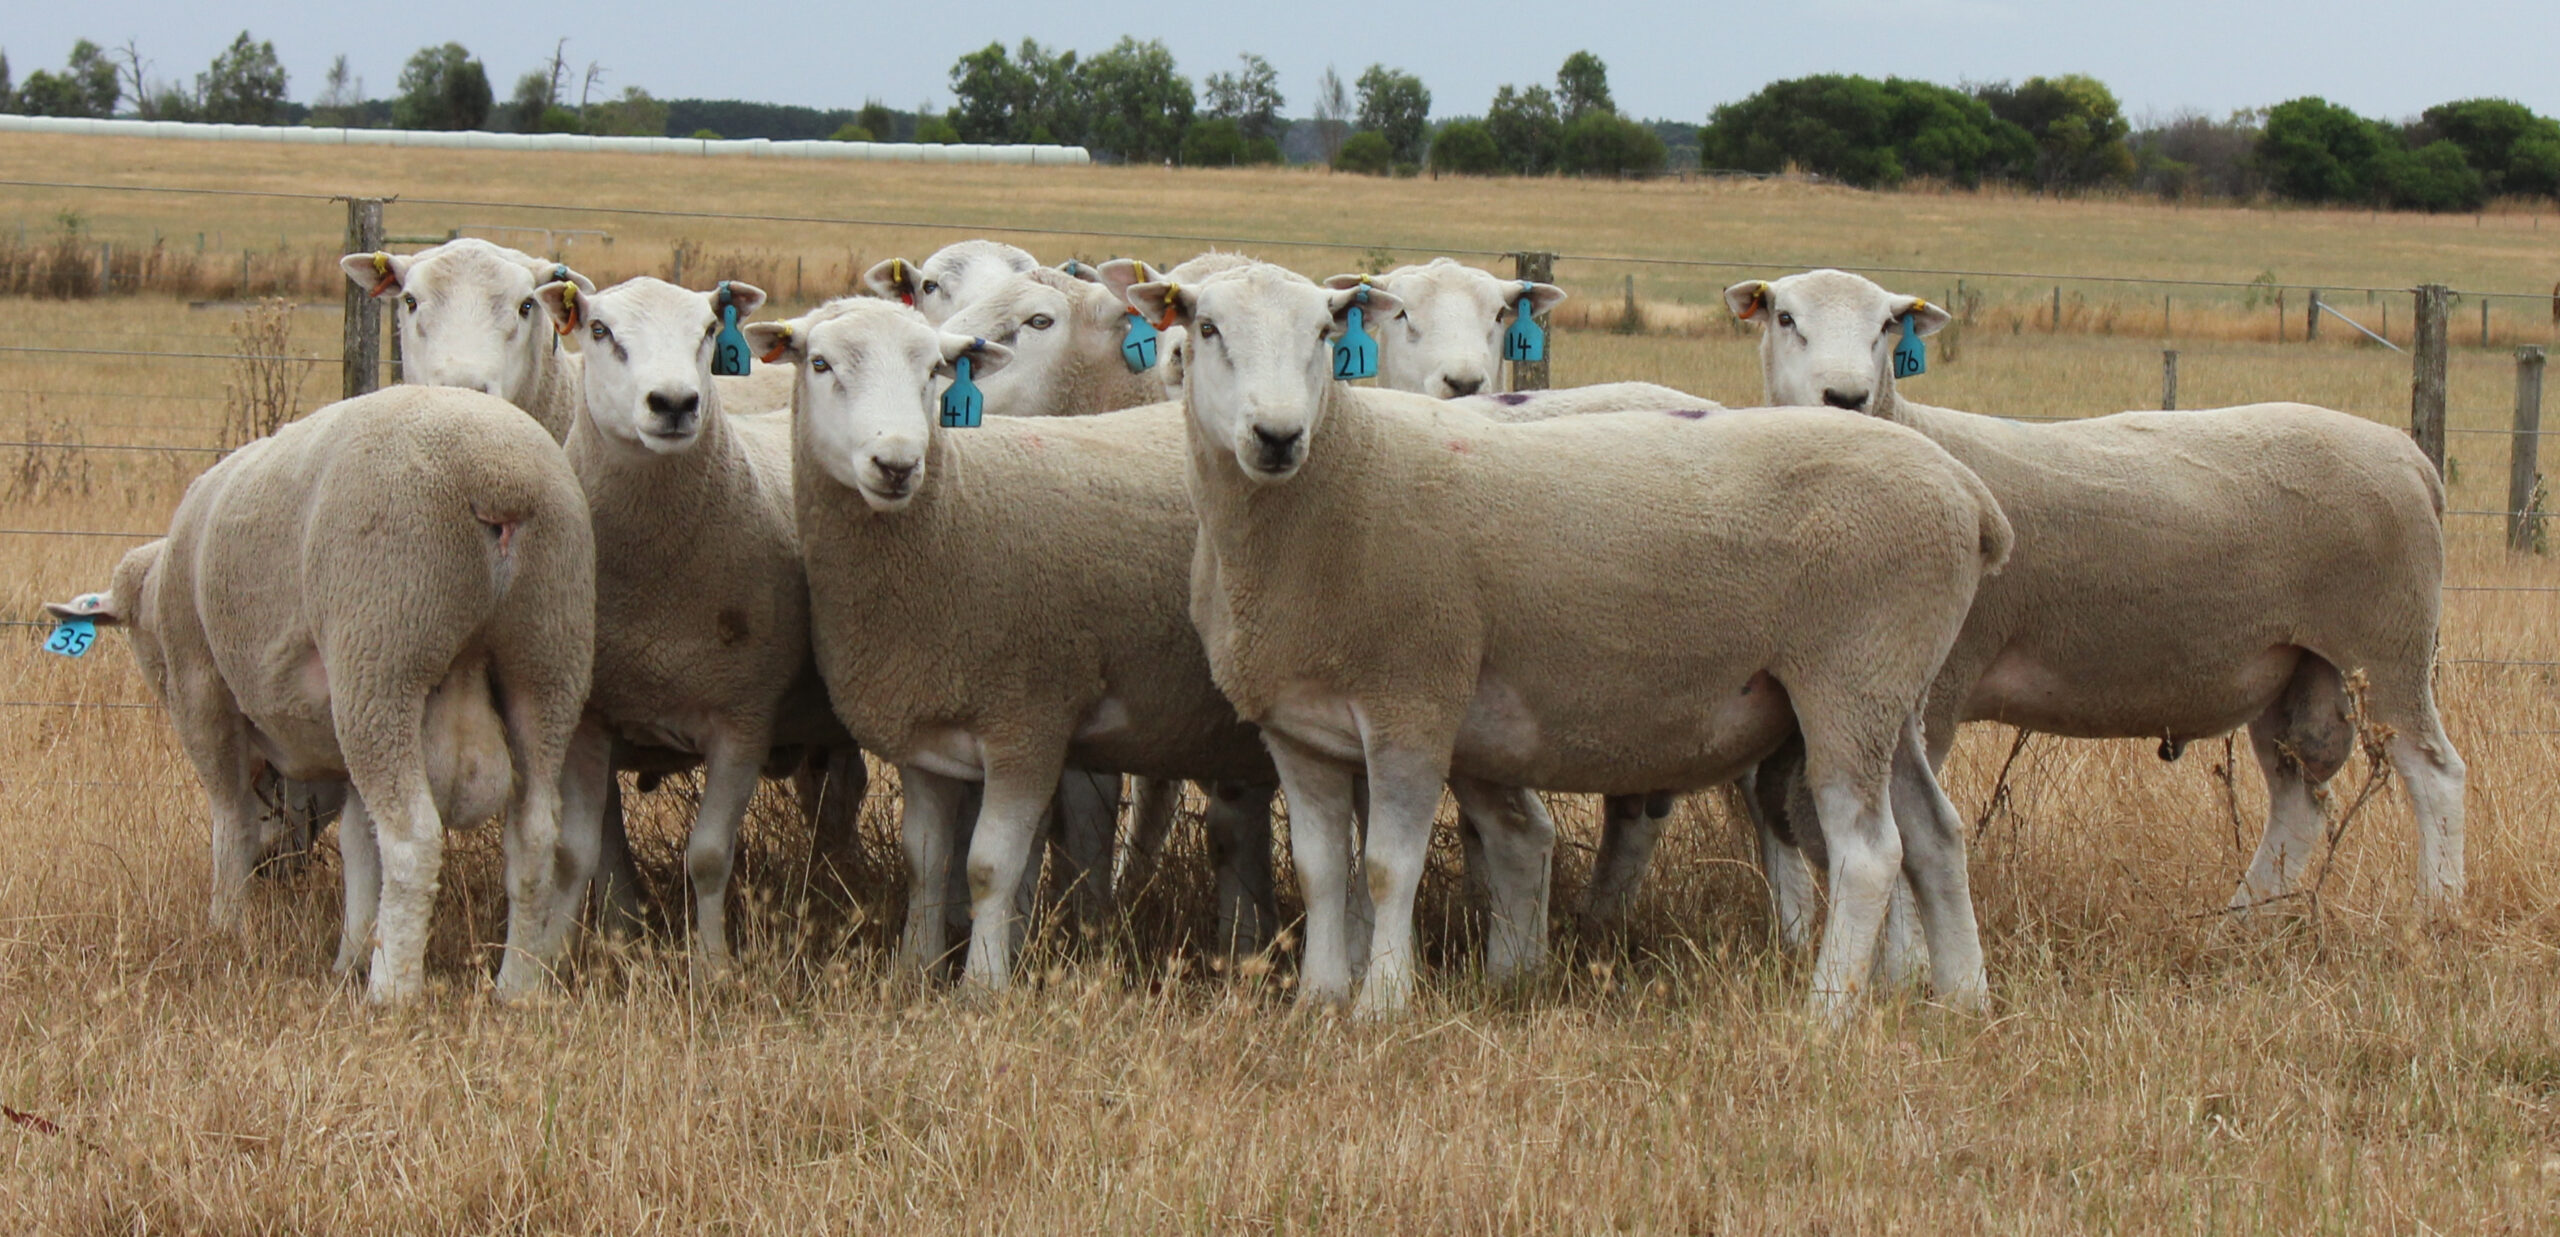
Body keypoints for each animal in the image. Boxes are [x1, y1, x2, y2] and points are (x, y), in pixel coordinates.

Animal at [45, 386, 594, 1002]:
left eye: (138, 632)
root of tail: (502, 481)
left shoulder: (201, 691)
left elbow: (231, 820)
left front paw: (226, 927)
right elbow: (357, 841)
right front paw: (349, 952)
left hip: (381, 657)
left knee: (412, 838)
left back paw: (393, 988)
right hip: (548, 658)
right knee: (535, 834)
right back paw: (516, 986)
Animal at [530, 275, 852, 971]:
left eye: (708, 331)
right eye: (600, 330)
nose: (675, 402)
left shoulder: (743, 718)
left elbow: (706, 856)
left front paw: (714, 968)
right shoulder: (587, 720)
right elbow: (578, 855)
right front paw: (551, 961)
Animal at [1132, 263, 2012, 1016]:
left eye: (1323, 330)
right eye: (1206, 327)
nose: (1277, 435)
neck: (1333, 482)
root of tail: (1967, 492)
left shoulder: (1415, 700)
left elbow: (1385, 869)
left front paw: (1382, 1006)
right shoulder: (1298, 729)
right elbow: (1319, 873)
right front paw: (1317, 1002)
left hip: (1849, 680)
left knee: (1869, 852)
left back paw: (1826, 1012)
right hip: (1894, 690)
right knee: (1935, 836)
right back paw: (1965, 998)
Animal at [1698, 268, 2463, 955]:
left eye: (1887, 325)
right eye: (1786, 318)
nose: (1845, 398)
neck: (1913, 432)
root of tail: (2411, 458)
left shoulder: (1938, 680)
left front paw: (1913, 959)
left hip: (2387, 638)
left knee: (2435, 775)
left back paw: (2433, 920)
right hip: (2299, 666)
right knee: (2300, 796)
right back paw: (2238, 926)